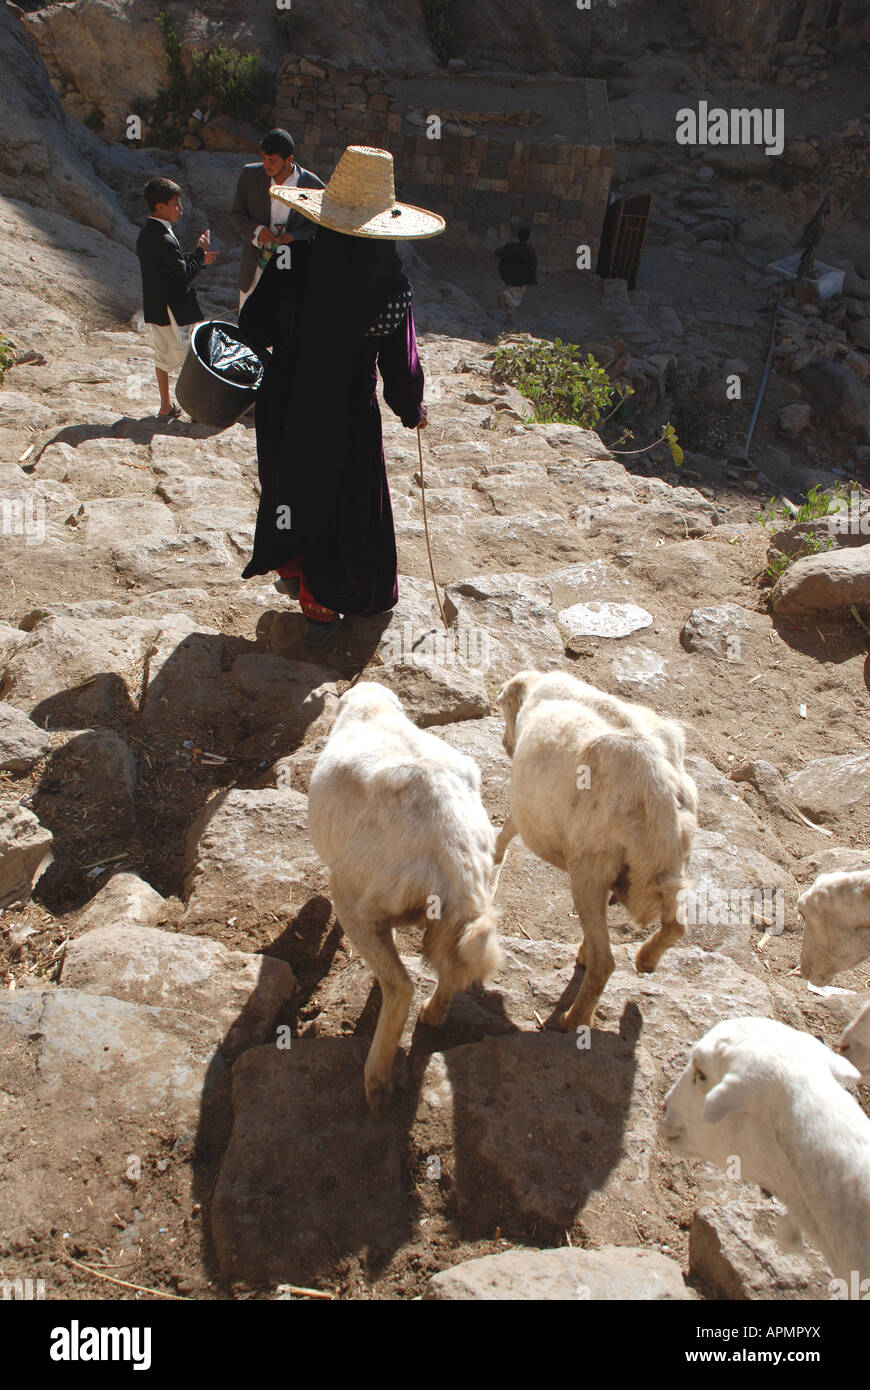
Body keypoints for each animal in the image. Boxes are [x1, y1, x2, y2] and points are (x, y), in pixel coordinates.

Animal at [307, 681, 502, 1117]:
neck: (373, 710)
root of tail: (451, 852)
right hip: (465, 904)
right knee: (456, 960)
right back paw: (433, 1013)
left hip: (356, 895)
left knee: (400, 986)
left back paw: (377, 1083)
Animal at [495, 670, 698, 1031]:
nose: (506, 745)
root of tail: (658, 788)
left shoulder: (523, 811)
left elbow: (505, 833)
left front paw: (494, 857)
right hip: (669, 863)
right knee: (676, 923)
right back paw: (645, 960)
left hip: (589, 868)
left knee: (606, 962)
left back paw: (573, 1020)